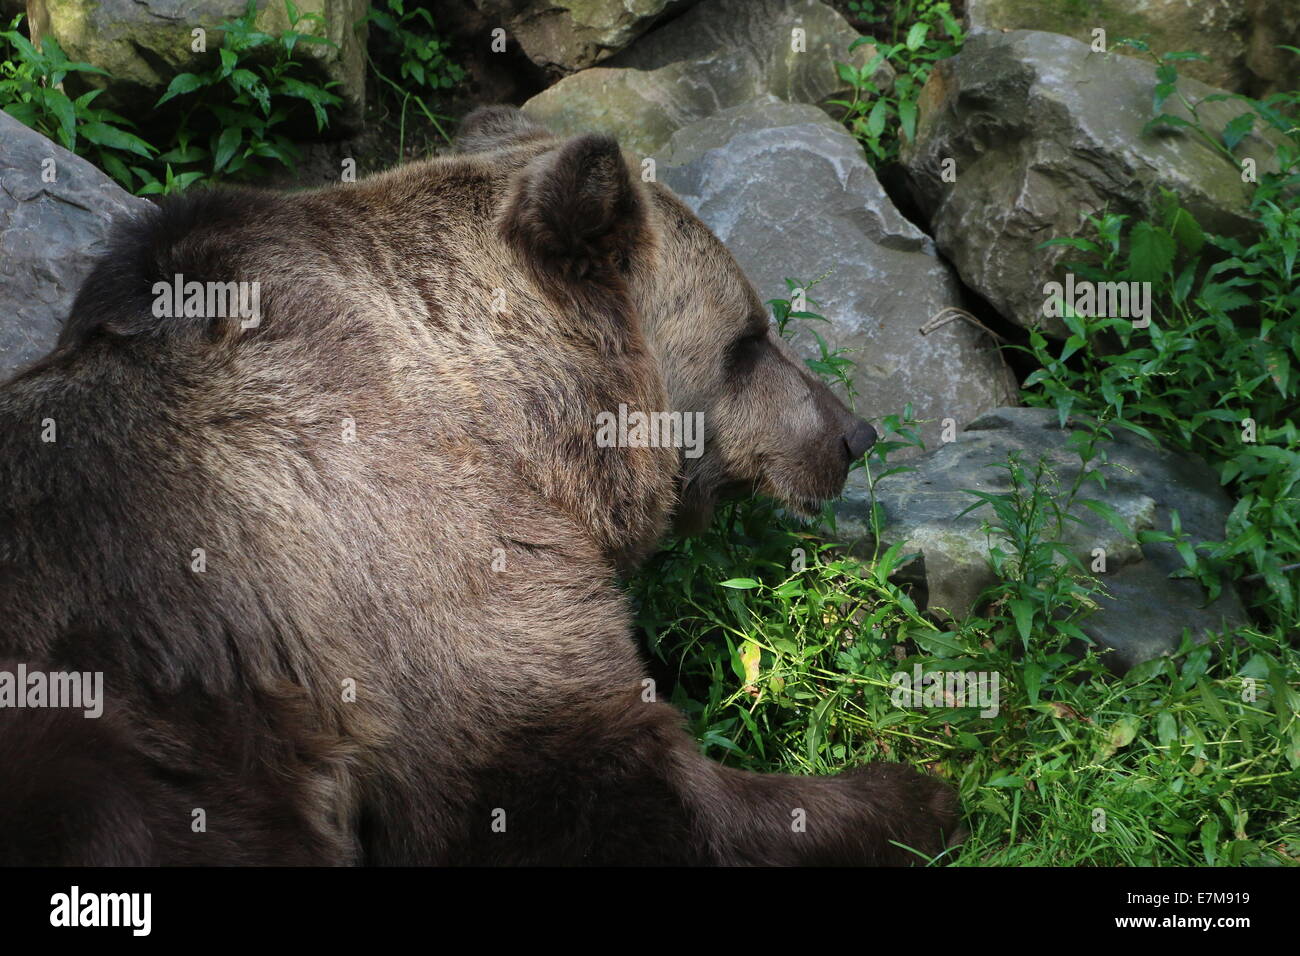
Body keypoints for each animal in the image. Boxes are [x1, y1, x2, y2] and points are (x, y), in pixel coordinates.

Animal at [0, 105, 961, 865]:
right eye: (751, 338)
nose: (852, 434)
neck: (518, 425)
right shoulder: (402, 558)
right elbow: (595, 788)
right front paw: (920, 789)